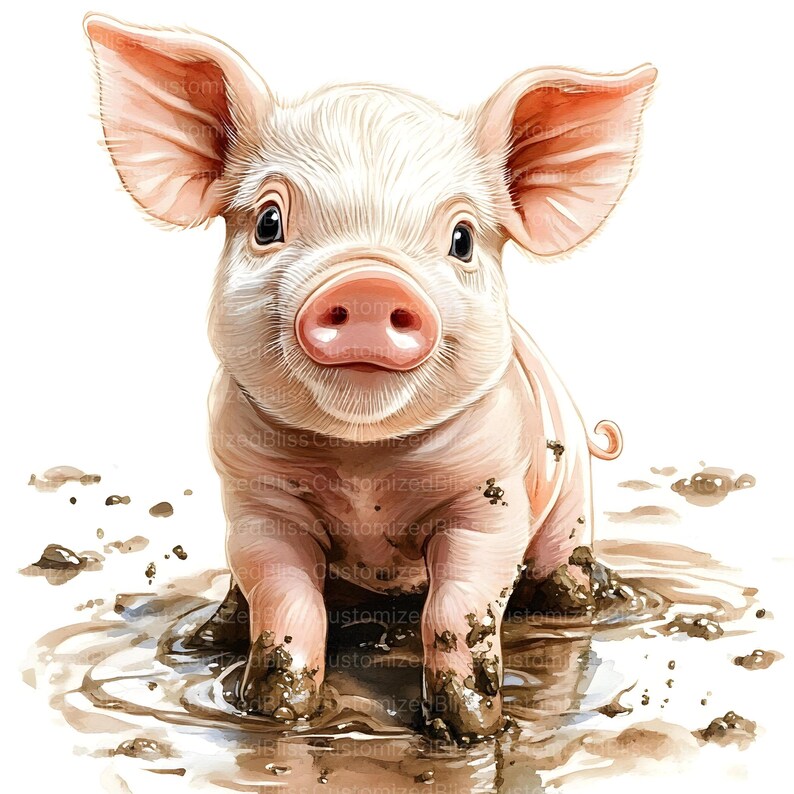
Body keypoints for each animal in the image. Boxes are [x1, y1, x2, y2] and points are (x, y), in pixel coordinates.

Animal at [85, 13, 655, 742]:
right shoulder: (257, 503)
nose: (368, 284)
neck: (365, 474)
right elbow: (285, 606)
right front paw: (275, 716)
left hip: (572, 503)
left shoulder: (488, 502)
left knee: (564, 569)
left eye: (463, 238)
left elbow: (458, 610)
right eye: (268, 221)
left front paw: (470, 734)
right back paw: (199, 642)